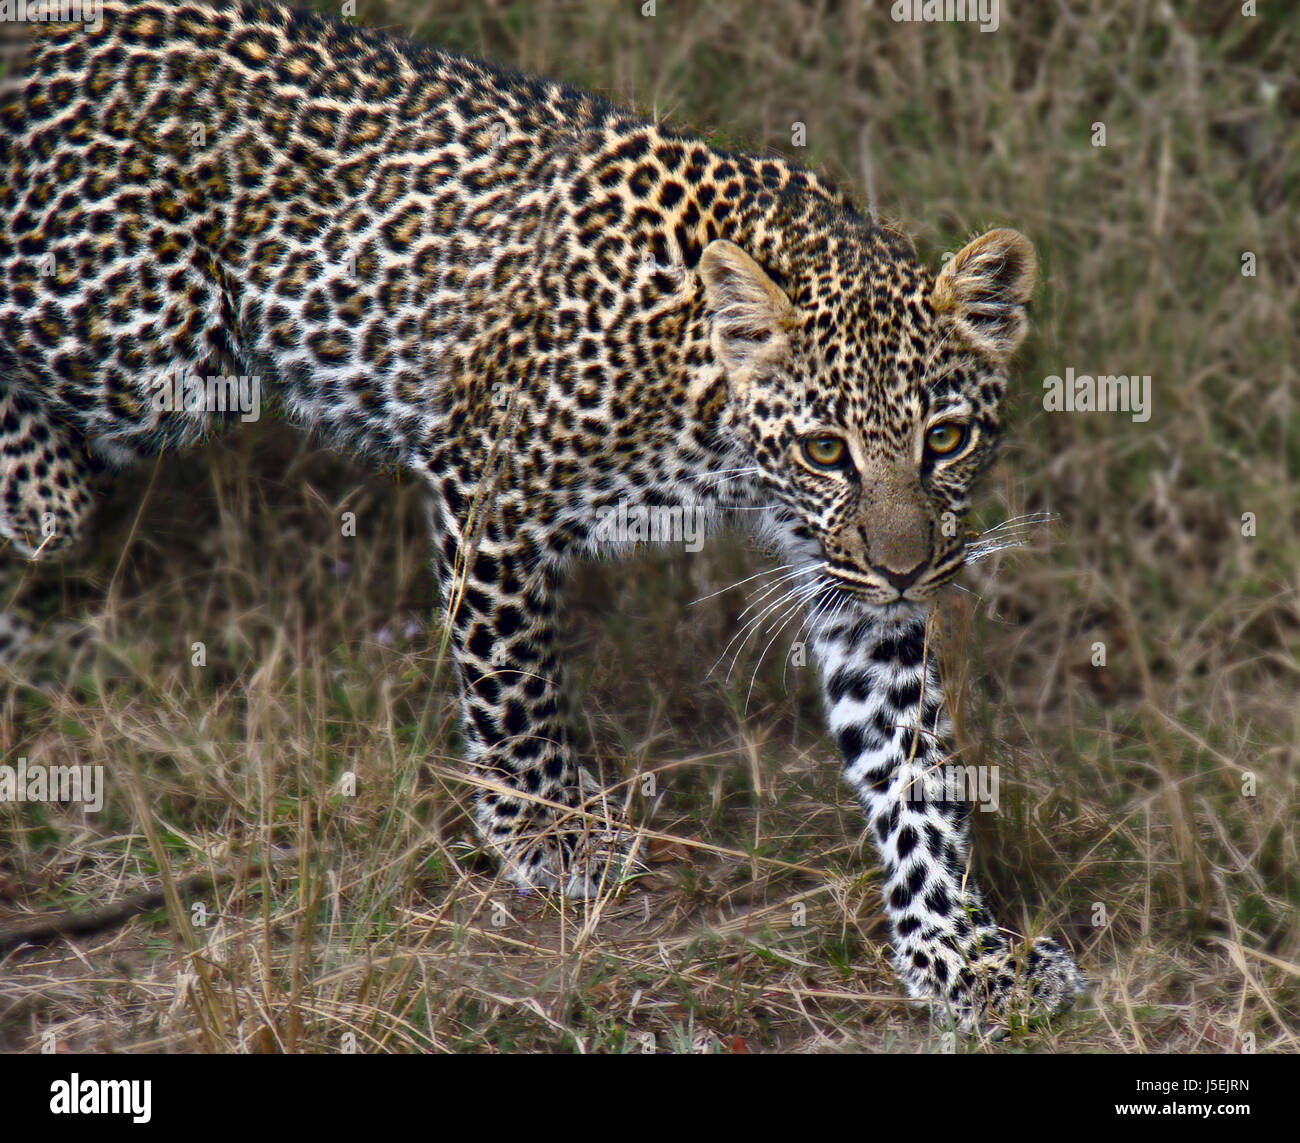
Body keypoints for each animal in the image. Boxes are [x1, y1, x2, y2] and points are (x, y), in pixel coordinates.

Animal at [0, 0, 1086, 1033]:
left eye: (945, 439)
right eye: (827, 450)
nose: (910, 570)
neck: (713, 410)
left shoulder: (853, 585)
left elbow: (914, 771)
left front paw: (963, 955)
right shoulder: (494, 488)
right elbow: (513, 680)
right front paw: (548, 832)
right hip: (150, 335)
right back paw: (40, 494)